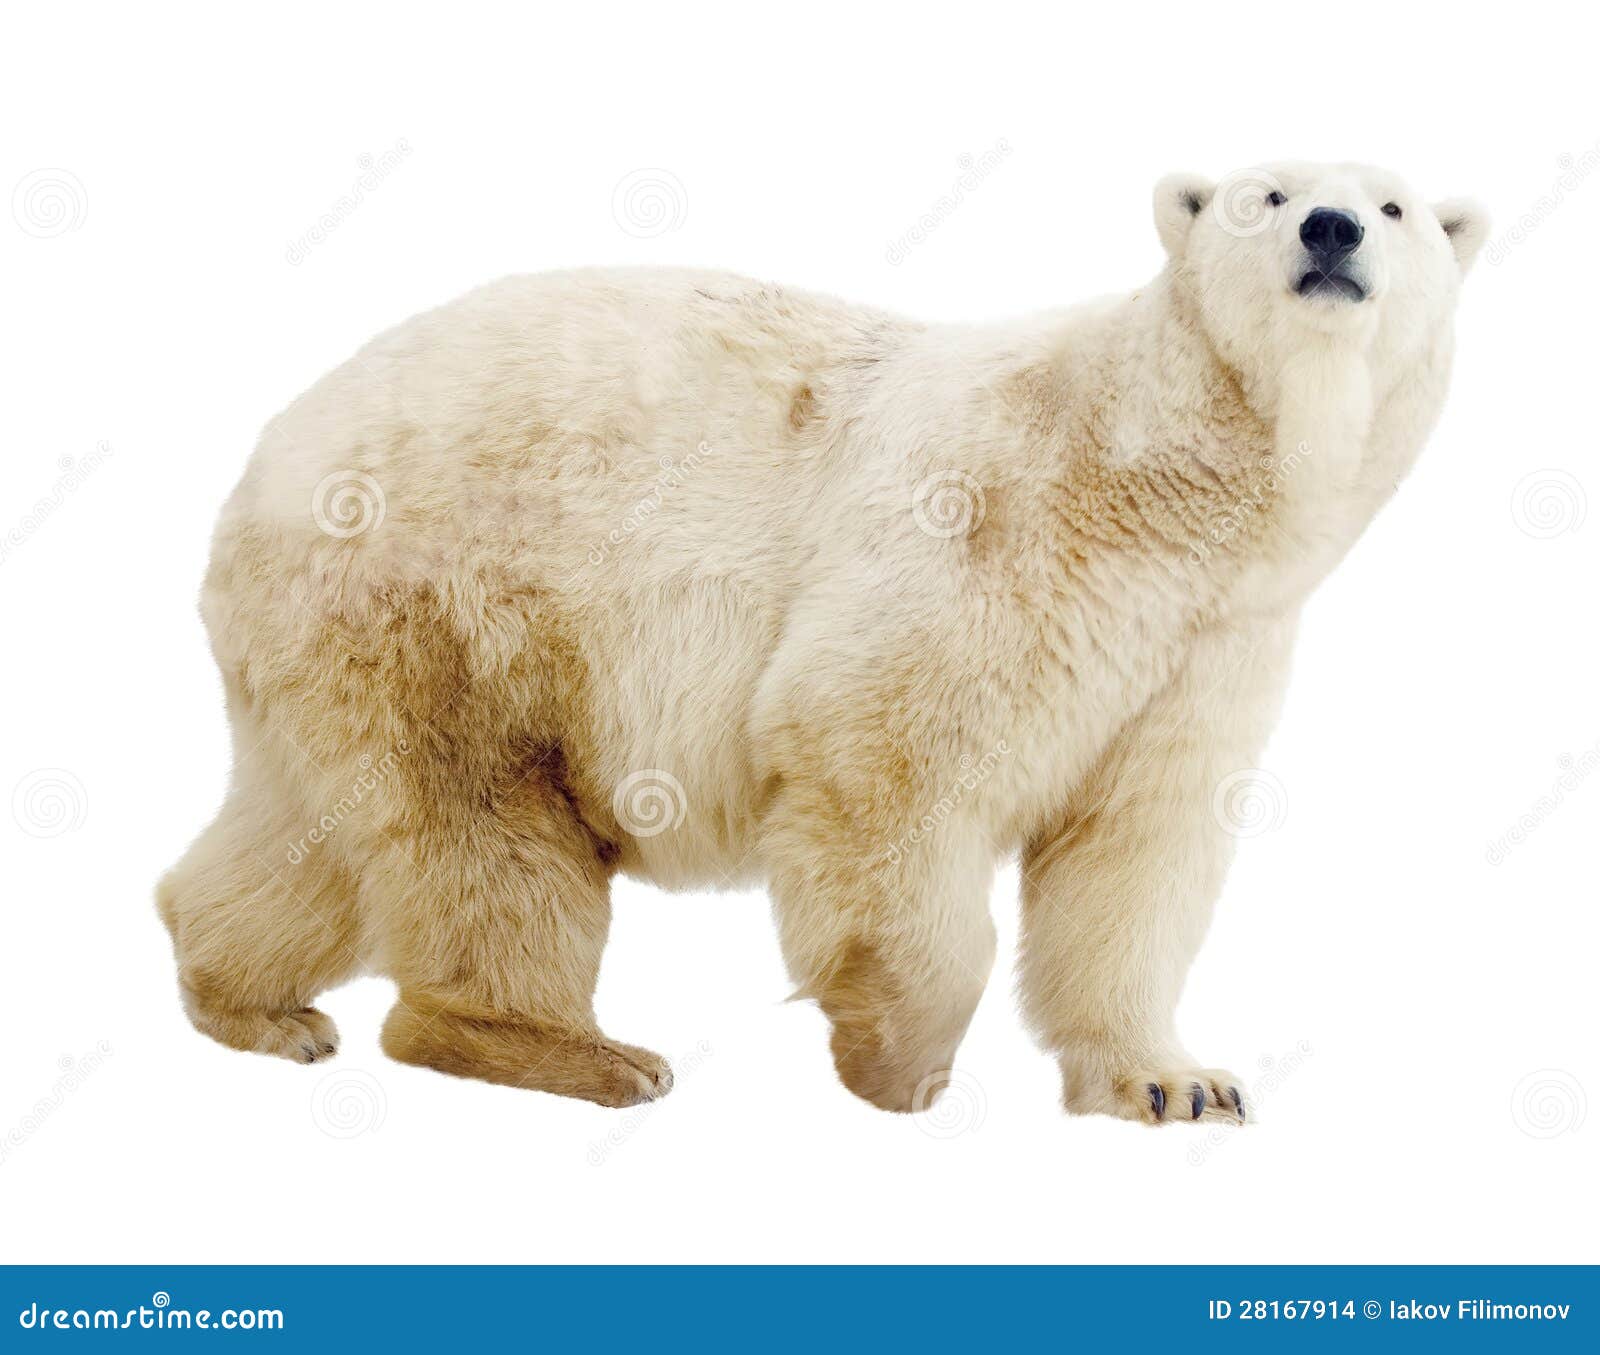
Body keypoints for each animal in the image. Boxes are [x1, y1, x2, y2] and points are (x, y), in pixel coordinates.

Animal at [158, 162, 1485, 1123]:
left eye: (1394, 204)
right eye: (1269, 190)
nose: (1331, 230)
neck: (1153, 480)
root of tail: (263, 461)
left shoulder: (1204, 641)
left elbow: (1132, 845)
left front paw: (1174, 1079)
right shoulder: (995, 534)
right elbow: (880, 746)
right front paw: (902, 1062)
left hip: (332, 639)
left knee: (310, 831)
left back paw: (250, 999)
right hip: (449, 605)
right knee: (481, 825)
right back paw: (570, 1049)